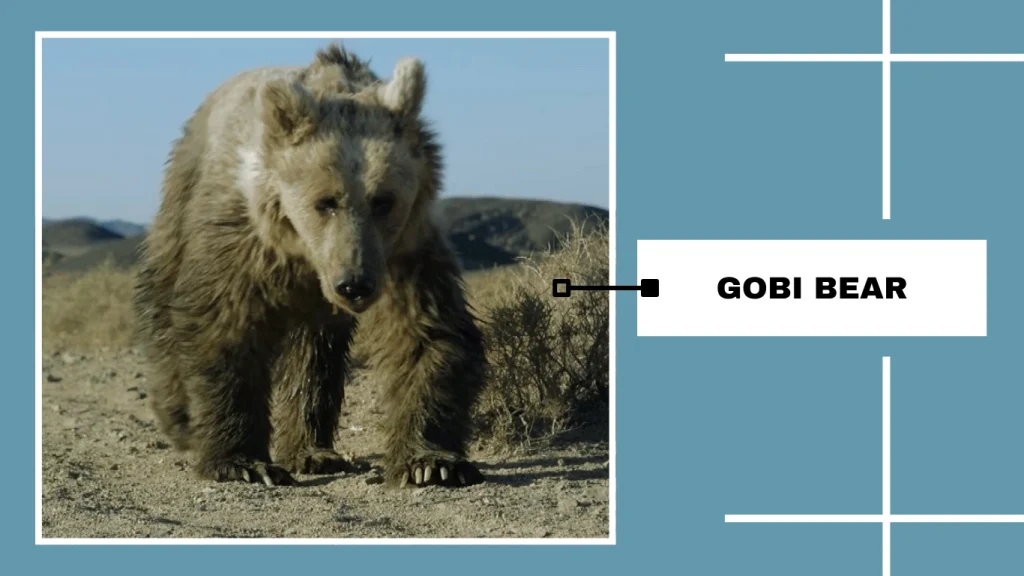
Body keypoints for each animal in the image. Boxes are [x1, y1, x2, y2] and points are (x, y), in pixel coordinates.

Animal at [132, 43, 487, 489]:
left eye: (383, 200)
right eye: (326, 201)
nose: (354, 284)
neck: (308, 255)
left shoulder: (405, 251)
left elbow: (427, 333)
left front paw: (432, 462)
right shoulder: (243, 240)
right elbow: (226, 328)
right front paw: (244, 462)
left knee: (315, 359)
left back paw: (314, 452)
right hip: (182, 197)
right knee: (163, 298)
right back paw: (178, 416)